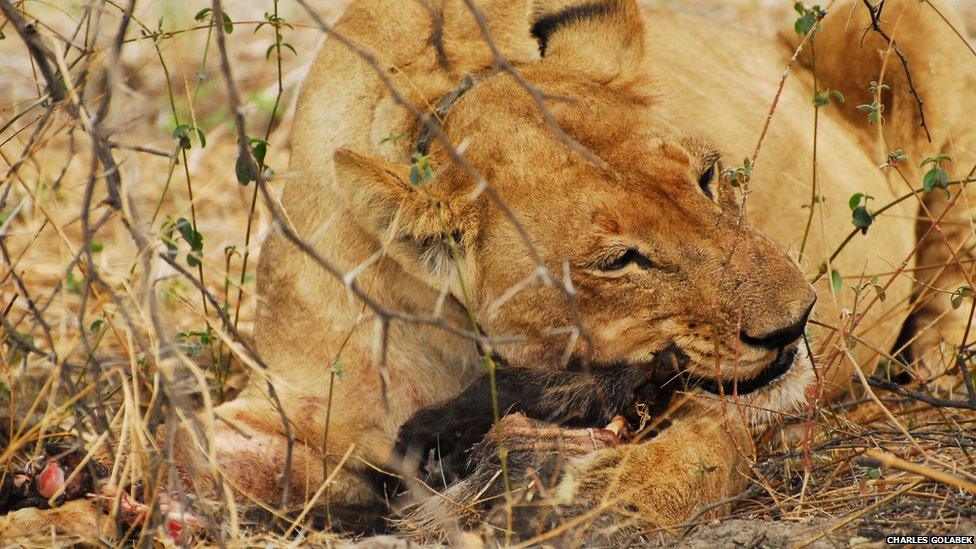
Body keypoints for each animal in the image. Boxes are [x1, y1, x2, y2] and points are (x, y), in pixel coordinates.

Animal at [3, 0, 974, 544]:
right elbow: (198, 448)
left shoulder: (720, 397)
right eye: (620, 260)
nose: (797, 318)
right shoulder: (312, 400)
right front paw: (63, 507)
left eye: (708, 176)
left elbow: (705, 445)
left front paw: (609, 502)